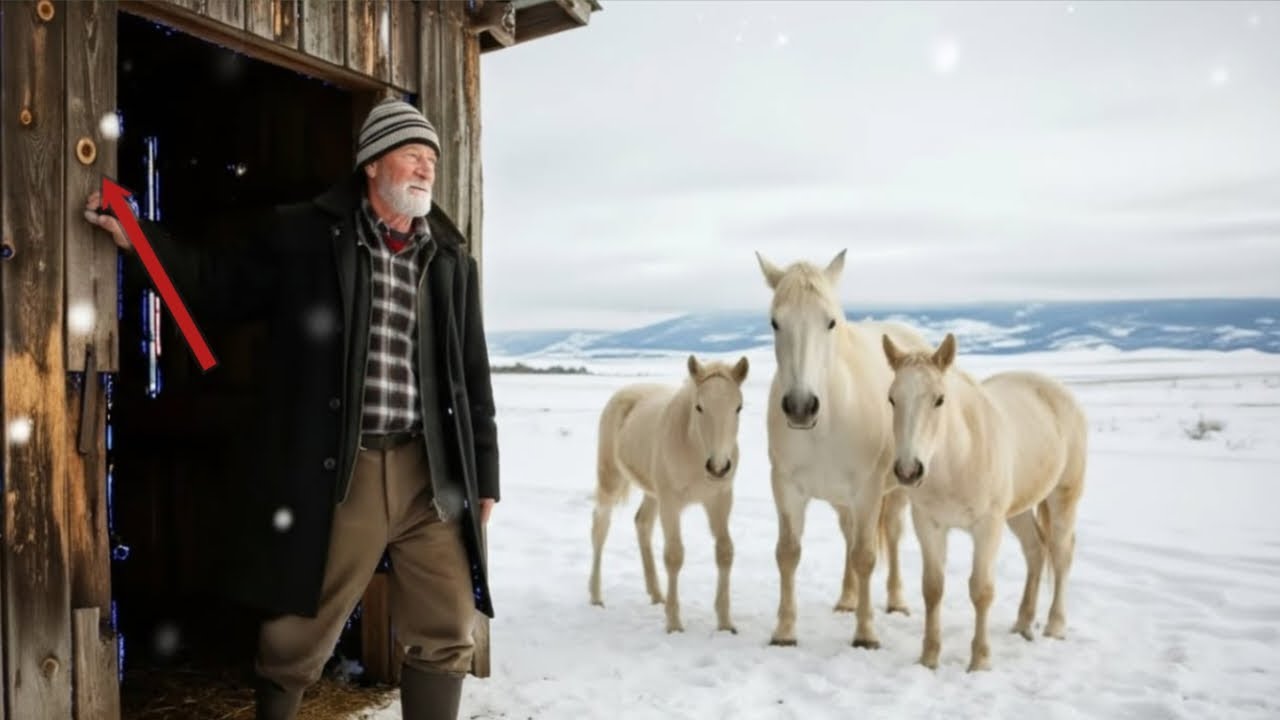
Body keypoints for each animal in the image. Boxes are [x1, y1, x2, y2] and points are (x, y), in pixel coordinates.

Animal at [590, 354, 751, 634]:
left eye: (738, 407)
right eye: (699, 407)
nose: (718, 467)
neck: (693, 448)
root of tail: (624, 392)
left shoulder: (719, 501)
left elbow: (725, 551)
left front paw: (725, 622)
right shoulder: (671, 503)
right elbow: (674, 555)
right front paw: (674, 623)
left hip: (653, 493)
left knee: (642, 524)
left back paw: (657, 594)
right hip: (612, 479)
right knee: (600, 527)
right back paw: (596, 596)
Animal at [756, 249, 931, 649]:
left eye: (831, 322)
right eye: (775, 322)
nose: (801, 406)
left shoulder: (868, 490)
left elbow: (866, 555)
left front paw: (866, 634)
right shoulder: (785, 487)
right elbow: (787, 553)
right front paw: (784, 631)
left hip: (896, 491)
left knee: (891, 537)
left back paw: (896, 602)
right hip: (842, 500)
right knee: (849, 535)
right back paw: (848, 599)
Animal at [881, 332, 1088, 672]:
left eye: (939, 399)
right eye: (892, 399)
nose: (909, 471)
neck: (956, 459)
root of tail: (1057, 391)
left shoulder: (987, 527)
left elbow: (981, 590)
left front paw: (980, 660)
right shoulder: (928, 524)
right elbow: (932, 588)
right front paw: (929, 658)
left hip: (1063, 498)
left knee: (1060, 554)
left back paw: (1055, 626)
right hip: (1017, 512)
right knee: (1035, 551)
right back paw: (1023, 623)